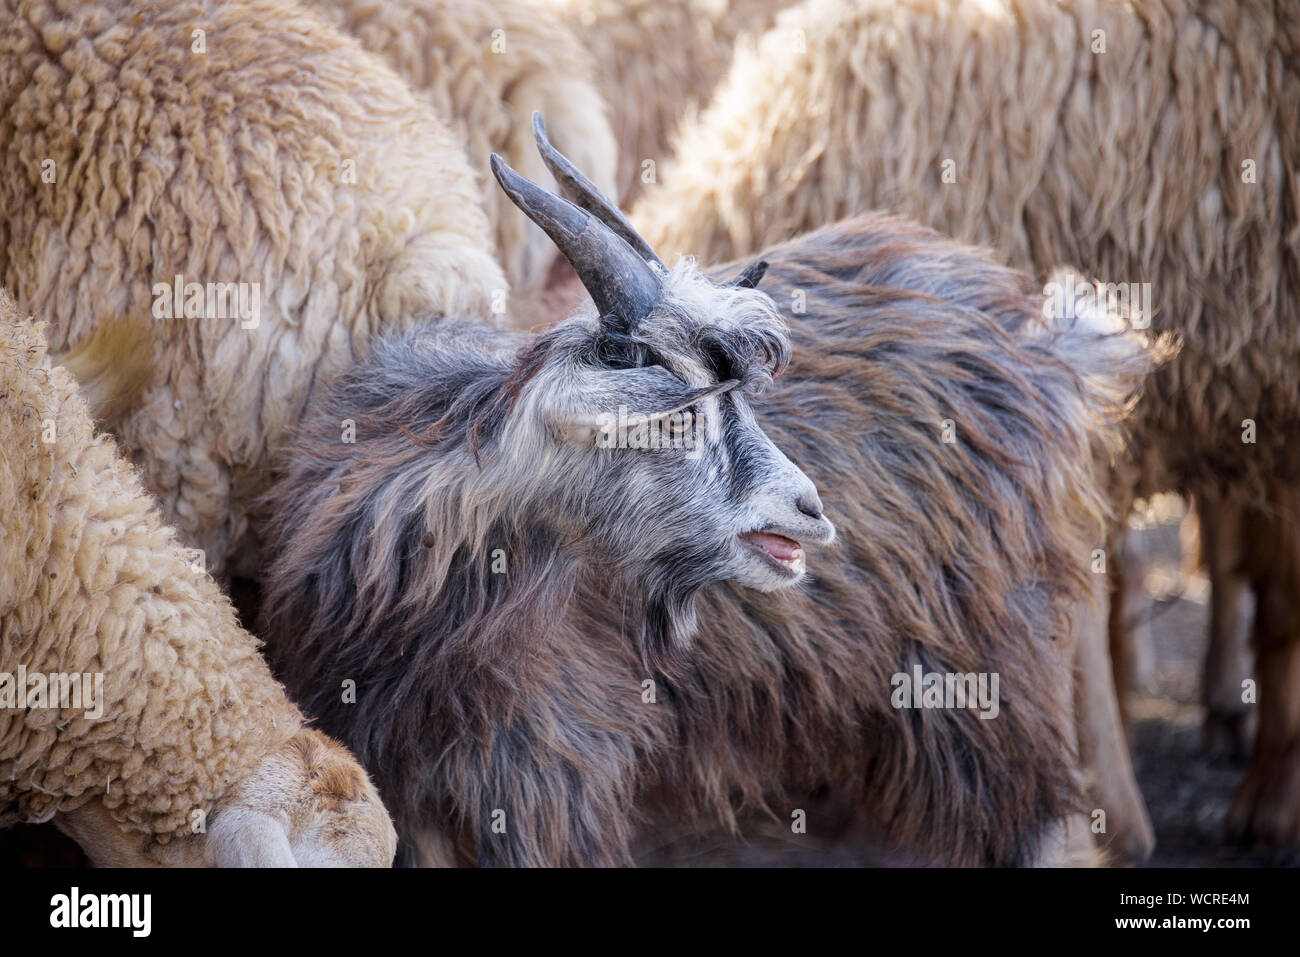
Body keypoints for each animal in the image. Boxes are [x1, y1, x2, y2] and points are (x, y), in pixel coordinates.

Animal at [258, 119, 1153, 867]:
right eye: (680, 411)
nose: (809, 510)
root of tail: (1039, 343)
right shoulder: (415, 784)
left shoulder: (545, 777)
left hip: (983, 673)